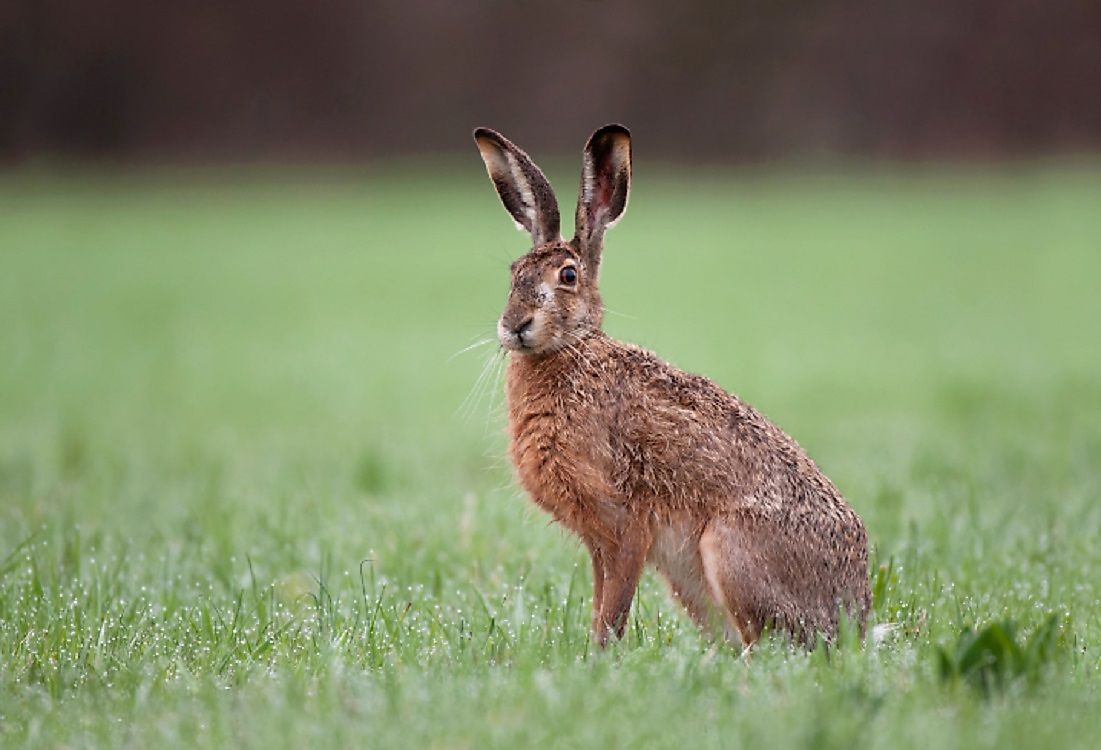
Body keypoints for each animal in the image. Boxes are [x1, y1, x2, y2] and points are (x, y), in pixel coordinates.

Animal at [473, 124, 871, 649]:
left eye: (568, 275)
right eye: (514, 274)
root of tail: (855, 622)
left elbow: (613, 610)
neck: (574, 351)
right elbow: (600, 603)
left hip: (728, 551)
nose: (514, 325)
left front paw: (600, 657)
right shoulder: (600, 542)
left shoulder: (623, 526)